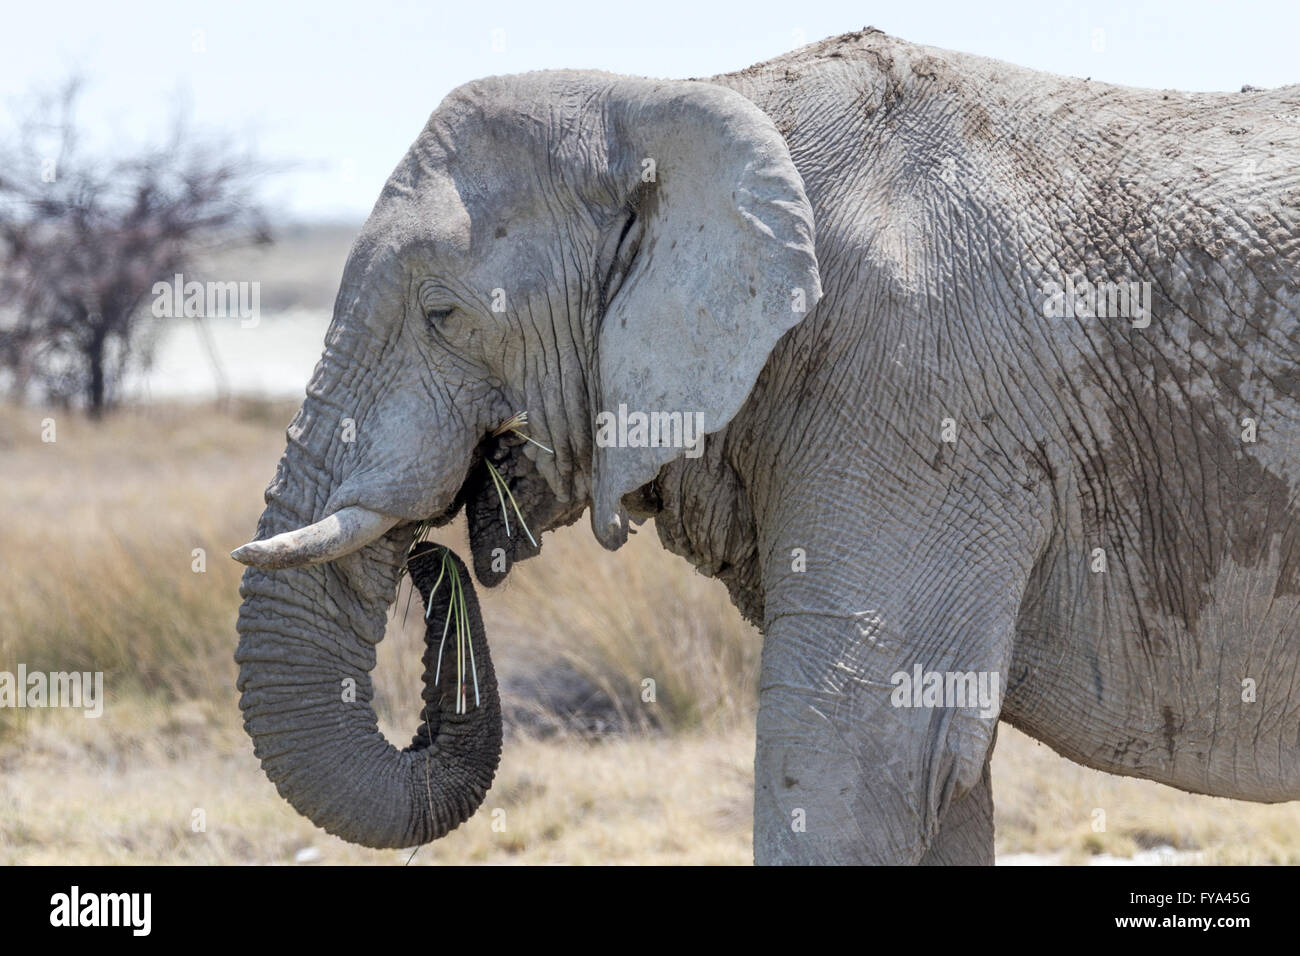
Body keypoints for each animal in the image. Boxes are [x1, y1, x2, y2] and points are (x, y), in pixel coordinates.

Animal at [232, 28, 1300, 864]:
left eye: (443, 314)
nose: (435, 558)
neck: (673, 99)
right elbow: (932, 784)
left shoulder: (920, 392)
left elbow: (856, 748)